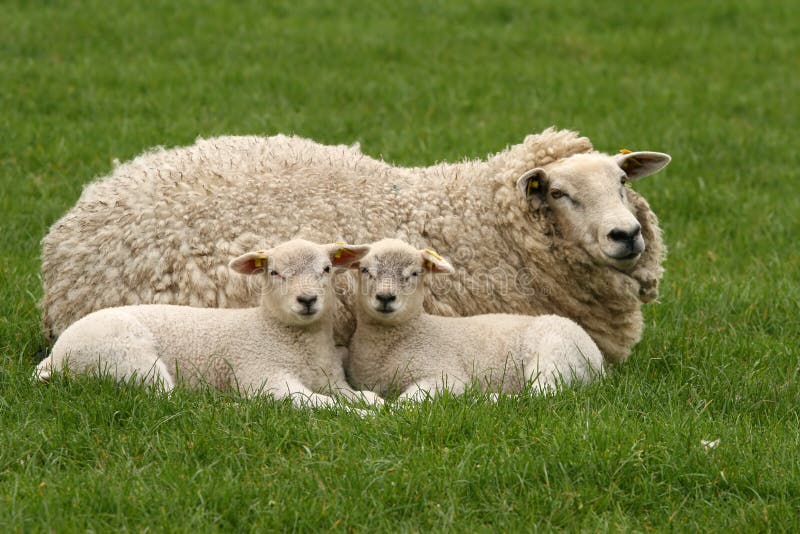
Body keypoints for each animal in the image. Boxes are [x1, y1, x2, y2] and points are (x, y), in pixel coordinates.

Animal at [34, 239, 383, 410]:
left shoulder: (333, 381)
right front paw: (363, 417)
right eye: (274, 272)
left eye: (326, 269)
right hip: (125, 356)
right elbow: (321, 404)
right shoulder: (264, 377)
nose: (307, 300)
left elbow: (363, 396)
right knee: (165, 398)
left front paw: (381, 407)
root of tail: (56, 355)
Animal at [346, 239, 605, 400]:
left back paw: (488, 399)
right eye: (365, 271)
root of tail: (599, 362)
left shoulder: (444, 375)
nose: (385, 297)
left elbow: (405, 403)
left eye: (414, 273)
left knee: (542, 394)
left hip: (556, 356)